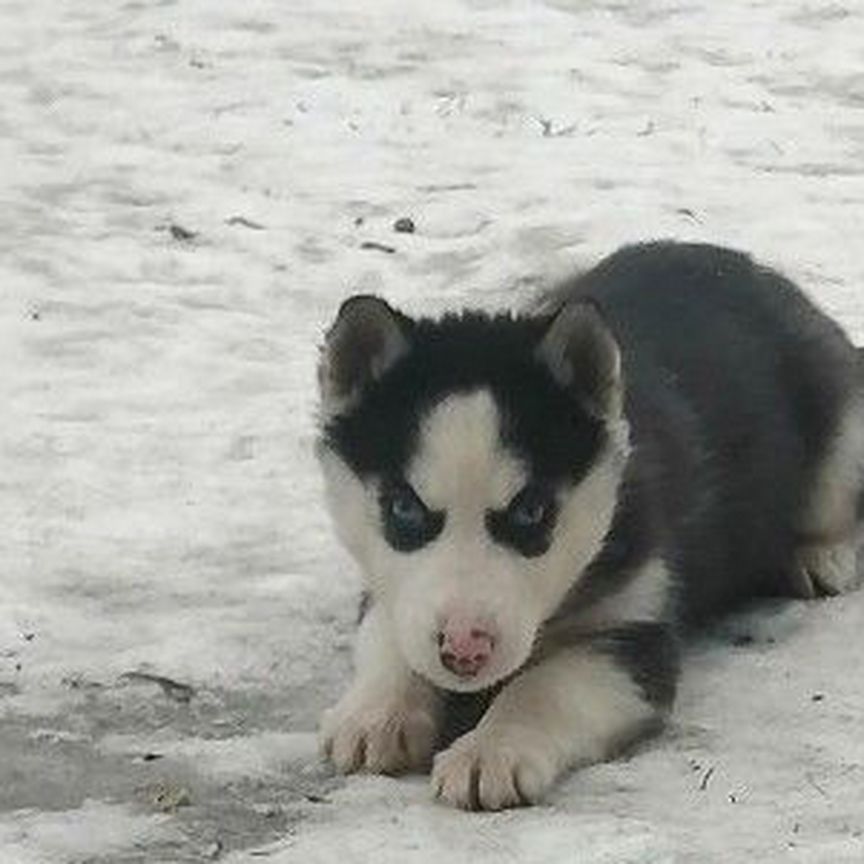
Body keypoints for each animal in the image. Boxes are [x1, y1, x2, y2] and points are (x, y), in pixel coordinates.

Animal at [314, 240, 860, 808]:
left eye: (531, 511)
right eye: (403, 508)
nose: (465, 647)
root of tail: (754, 270)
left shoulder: (634, 631)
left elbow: (543, 687)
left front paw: (491, 749)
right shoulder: (387, 587)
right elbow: (387, 636)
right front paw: (377, 713)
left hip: (841, 423)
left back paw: (818, 554)